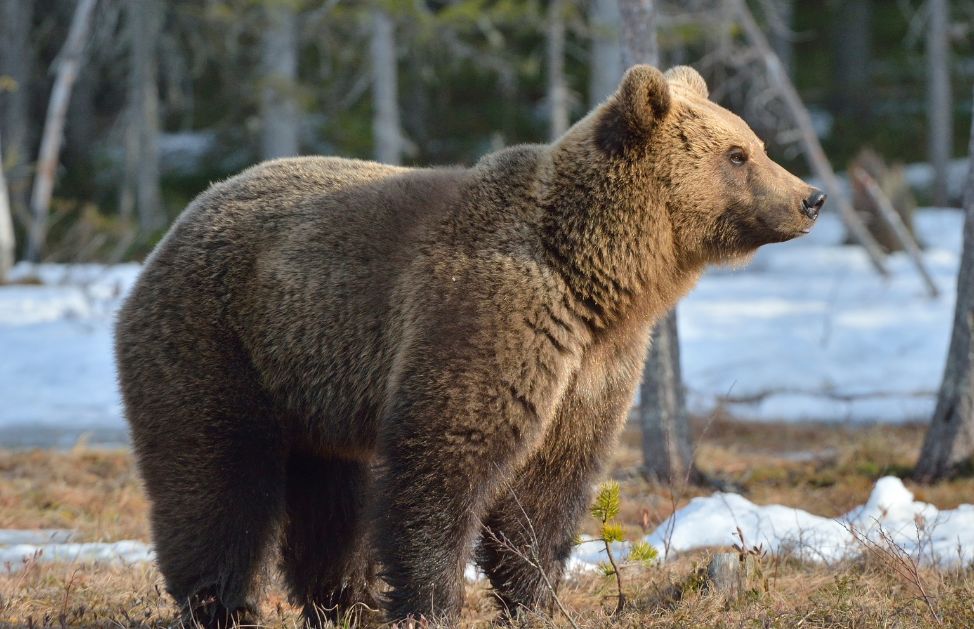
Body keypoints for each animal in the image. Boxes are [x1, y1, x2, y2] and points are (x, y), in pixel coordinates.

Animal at [114, 64, 823, 627]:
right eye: (738, 154)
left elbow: (549, 487)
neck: (592, 276)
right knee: (215, 475)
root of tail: (179, 224)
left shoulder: (594, 365)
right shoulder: (489, 317)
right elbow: (445, 462)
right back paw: (222, 603)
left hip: (315, 384)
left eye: (756, 143)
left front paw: (534, 600)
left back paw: (346, 602)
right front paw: (431, 602)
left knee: (331, 500)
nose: (810, 198)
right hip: (220, 341)